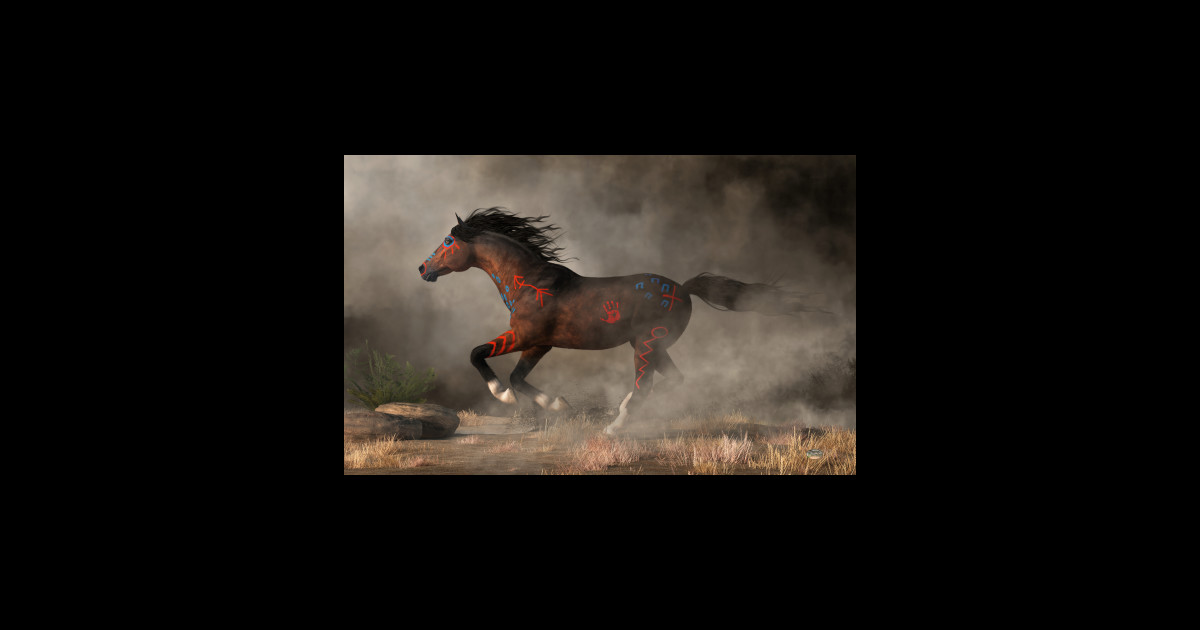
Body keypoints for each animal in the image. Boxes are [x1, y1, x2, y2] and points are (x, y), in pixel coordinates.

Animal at [417, 207, 821, 435]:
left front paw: (503, 396)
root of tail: (684, 289)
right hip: (652, 346)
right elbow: (517, 377)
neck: (530, 282)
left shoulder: (524, 336)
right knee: (672, 381)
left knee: (648, 385)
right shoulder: (539, 344)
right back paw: (622, 408)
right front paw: (557, 405)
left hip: (646, 343)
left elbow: (477, 354)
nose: (423, 268)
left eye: (447, 243)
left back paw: (616, 424)